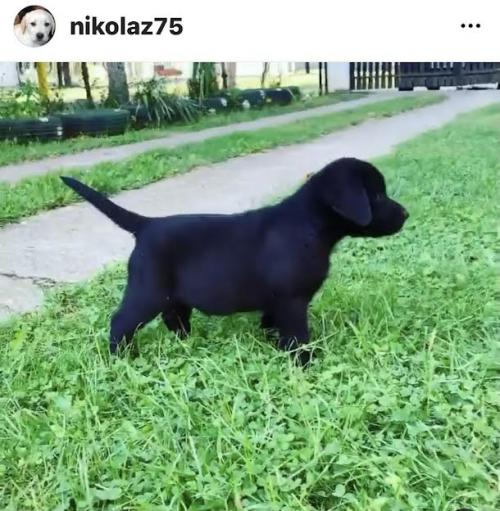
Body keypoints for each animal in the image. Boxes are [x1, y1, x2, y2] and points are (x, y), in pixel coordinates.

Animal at [62, 158, 408, 366]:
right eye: (377, 196)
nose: (405, 214)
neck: (309, 225)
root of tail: (146, 225)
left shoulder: (277, 302)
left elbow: (272, 324)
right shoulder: (293, 301)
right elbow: (297, 335)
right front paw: (304, 362)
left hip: (173, 296)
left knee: (174, 318)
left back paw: (185, 343)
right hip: (147, 291)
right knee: (121, 322)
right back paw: (122, 357)